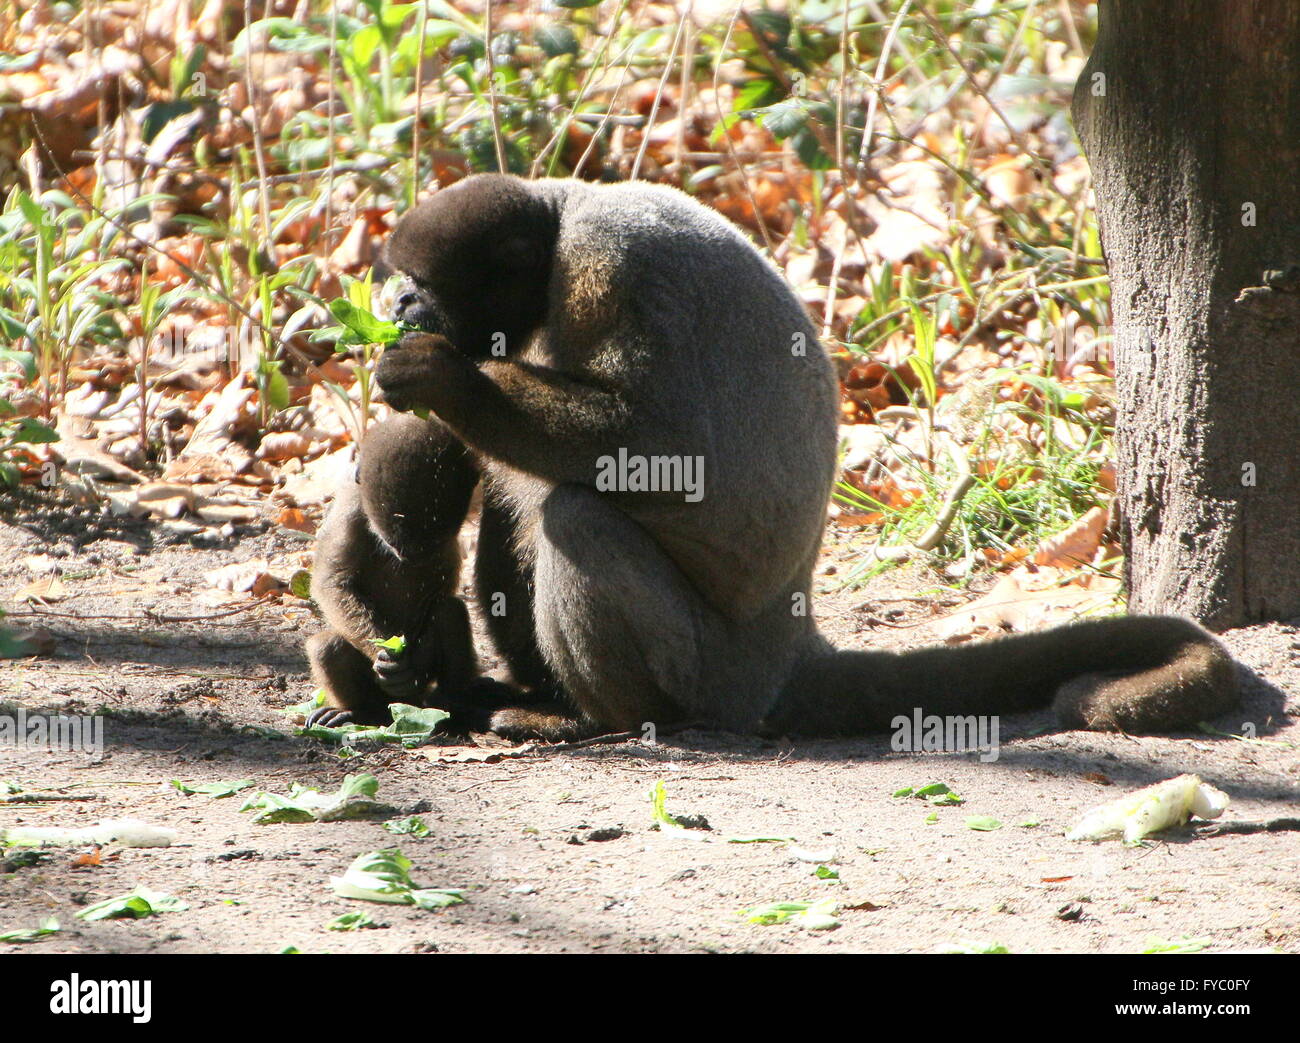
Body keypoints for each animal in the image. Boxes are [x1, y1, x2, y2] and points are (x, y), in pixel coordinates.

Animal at [305, 413, 480, 727]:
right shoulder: (350, 507)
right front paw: (387, 654)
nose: (410, 556)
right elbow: (332, 582)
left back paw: (452, 704)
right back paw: (358, 711)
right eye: (393, 541)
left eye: (430, 544)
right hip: (379, 693)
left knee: (449, 612)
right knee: (327, 647)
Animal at [356, 172, 1238, 742]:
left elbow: (661, 447)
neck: (556, 235)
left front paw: (444, 376)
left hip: (706, 668)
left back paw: (597, 720)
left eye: (419, 282)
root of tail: (787, 645)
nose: (393, 302)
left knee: (573, 512)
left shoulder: (610, 264)